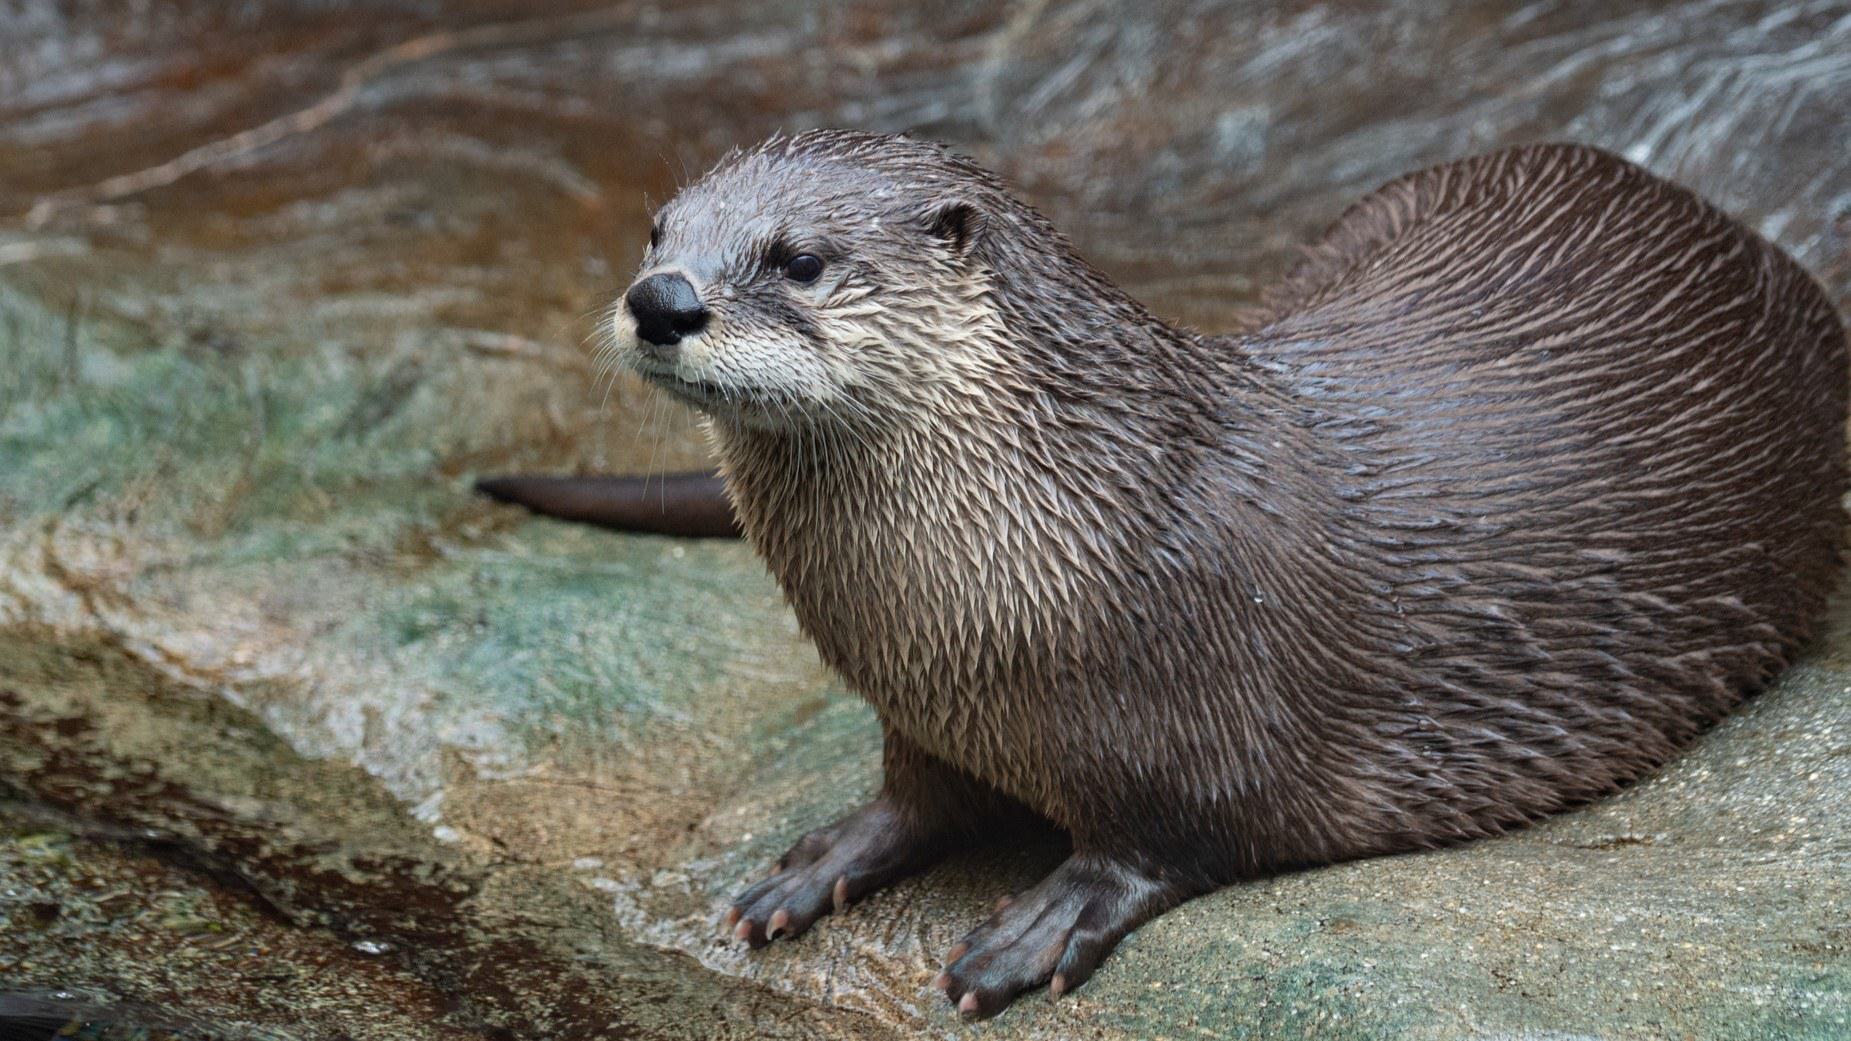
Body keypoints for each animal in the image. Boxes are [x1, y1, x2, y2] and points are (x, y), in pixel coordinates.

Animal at [488, 131, 1848, 1017]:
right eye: (660, 233)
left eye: (799, 257)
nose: (662, 299)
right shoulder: (921, 703)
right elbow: (915, 794)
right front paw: (821, 860)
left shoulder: (1202, 706)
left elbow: (1170, 835)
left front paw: (1043, 922)